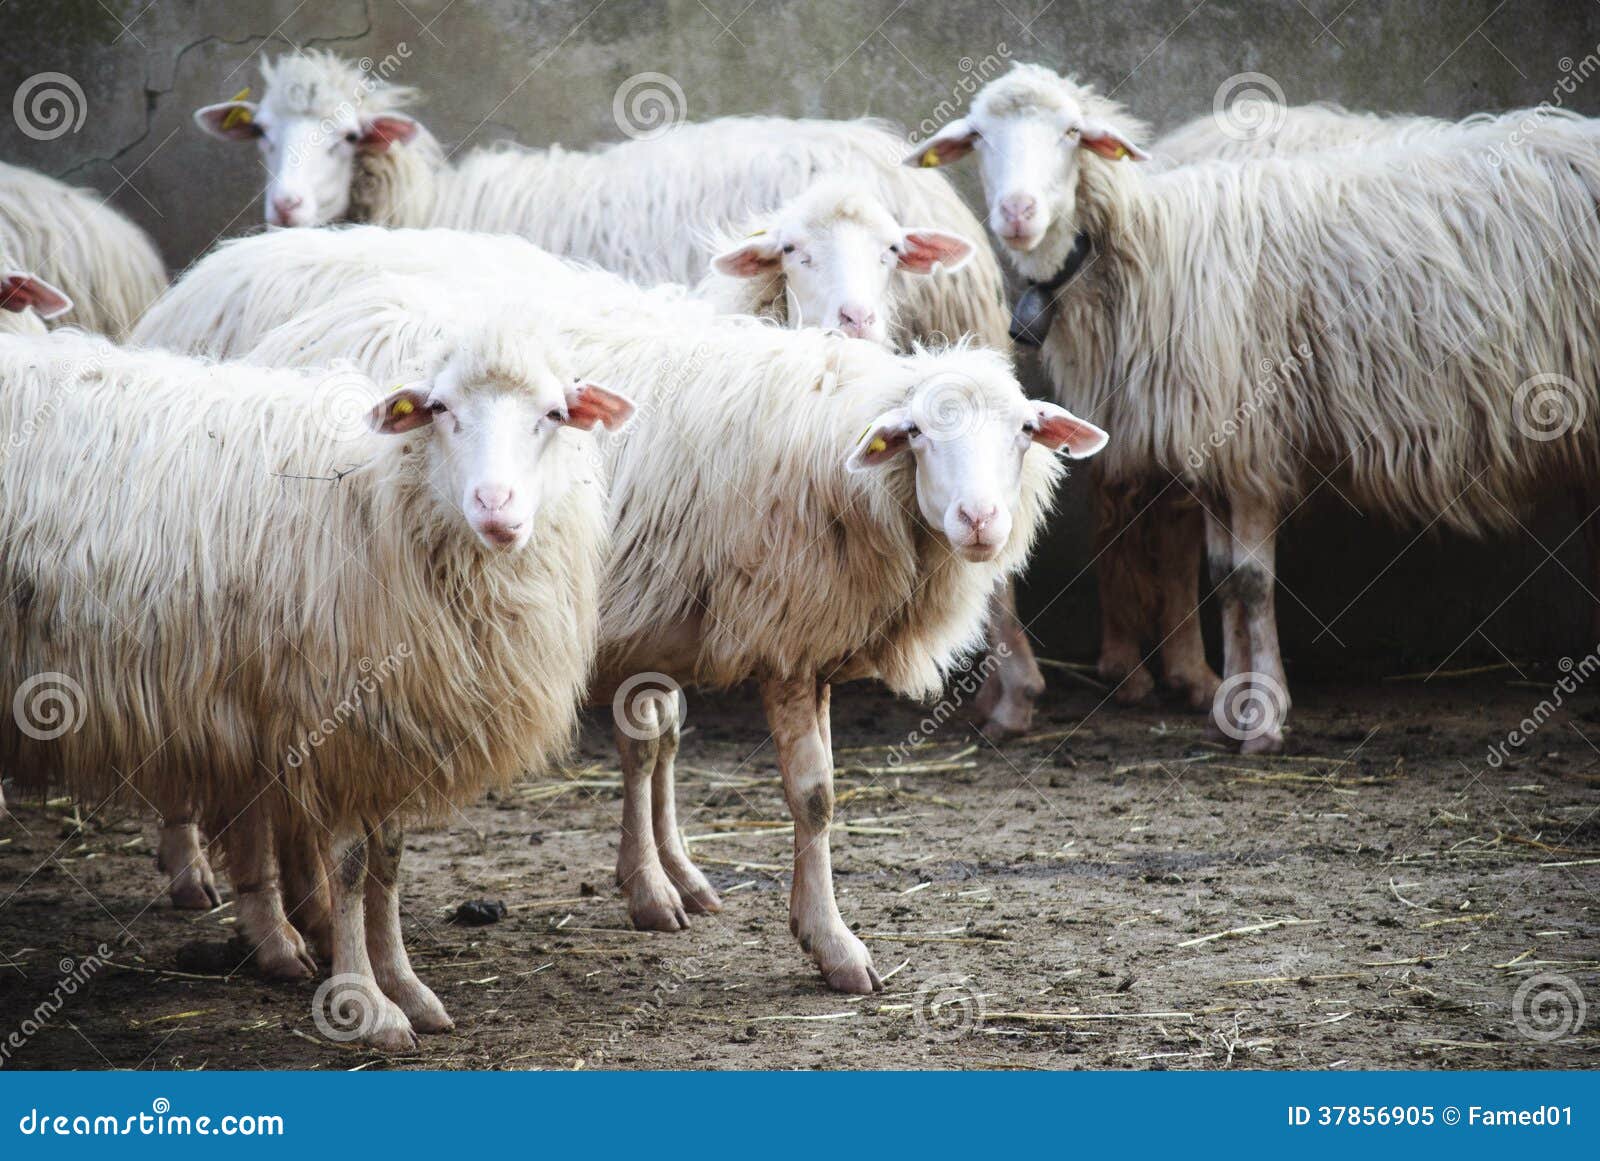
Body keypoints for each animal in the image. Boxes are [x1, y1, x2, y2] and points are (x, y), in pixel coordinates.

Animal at [0, 324, 629, 1046]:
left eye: (553, 414)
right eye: (440, 409)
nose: (495, 507)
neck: (382, 496)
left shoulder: (390, 727)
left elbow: (388, 862)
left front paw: (406, 987)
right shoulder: (335, 724)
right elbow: (352, 868)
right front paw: (368, 1004)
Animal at [221, 270, 1107, 992]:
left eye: (1024, 432)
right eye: (919, 432)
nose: (980, 520)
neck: (848, 468)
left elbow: (666, 748)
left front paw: (673, 887)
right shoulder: (784, 635)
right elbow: (812, 795)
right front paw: (832, 944)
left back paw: (307, 913)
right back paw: (281, 932)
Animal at [914, 62, 1600, 752]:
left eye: (1072, 133)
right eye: (978, 136)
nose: (1017, 213)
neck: (1148, 247)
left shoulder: (1248, 436)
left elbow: (1248, 580)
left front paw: (1263, 719)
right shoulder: (1217, 441)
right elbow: (1222, 575)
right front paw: (1234, 707)